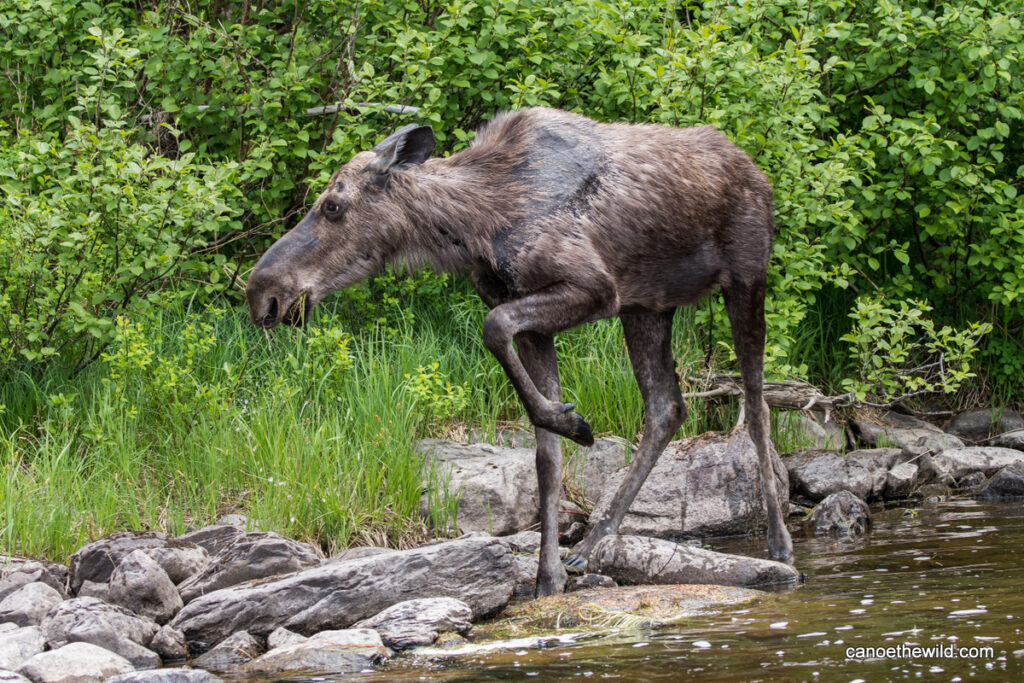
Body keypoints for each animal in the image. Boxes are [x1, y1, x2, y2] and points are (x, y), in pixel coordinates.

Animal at [245, 107, 794, 596]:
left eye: (332, 206)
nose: (263, 293)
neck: (473, 227)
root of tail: (760, 176)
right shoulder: (542, 319)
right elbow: (545, 457)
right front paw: (547, 575)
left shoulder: (593, 290)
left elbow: (494, 330)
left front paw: (575, 424)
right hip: (648, 306)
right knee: (667, 407)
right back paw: (593, 541)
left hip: (746, 277)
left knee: (757, 405)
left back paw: (780, 544)